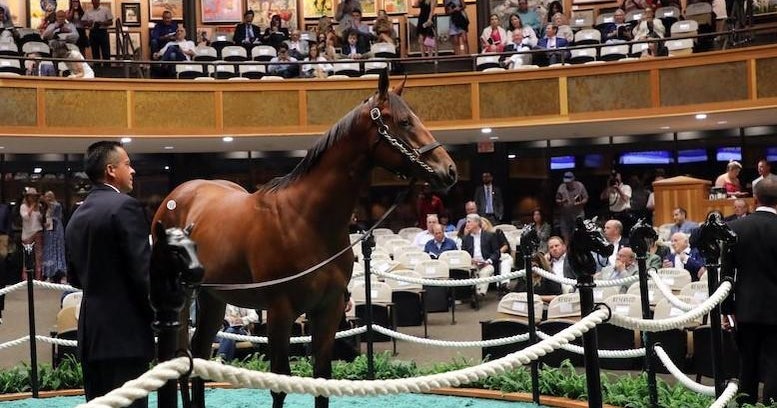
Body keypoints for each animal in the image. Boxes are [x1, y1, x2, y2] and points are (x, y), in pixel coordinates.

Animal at [152, 70, 457, 408]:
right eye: (404, 122)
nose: (449, 170)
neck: (305, 219)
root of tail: (180, 193)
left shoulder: (328, 307)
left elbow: (322, 377)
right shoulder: (279, 311)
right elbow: (279, 382)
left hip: (213, 296)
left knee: (200, 351)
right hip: (183, 298)